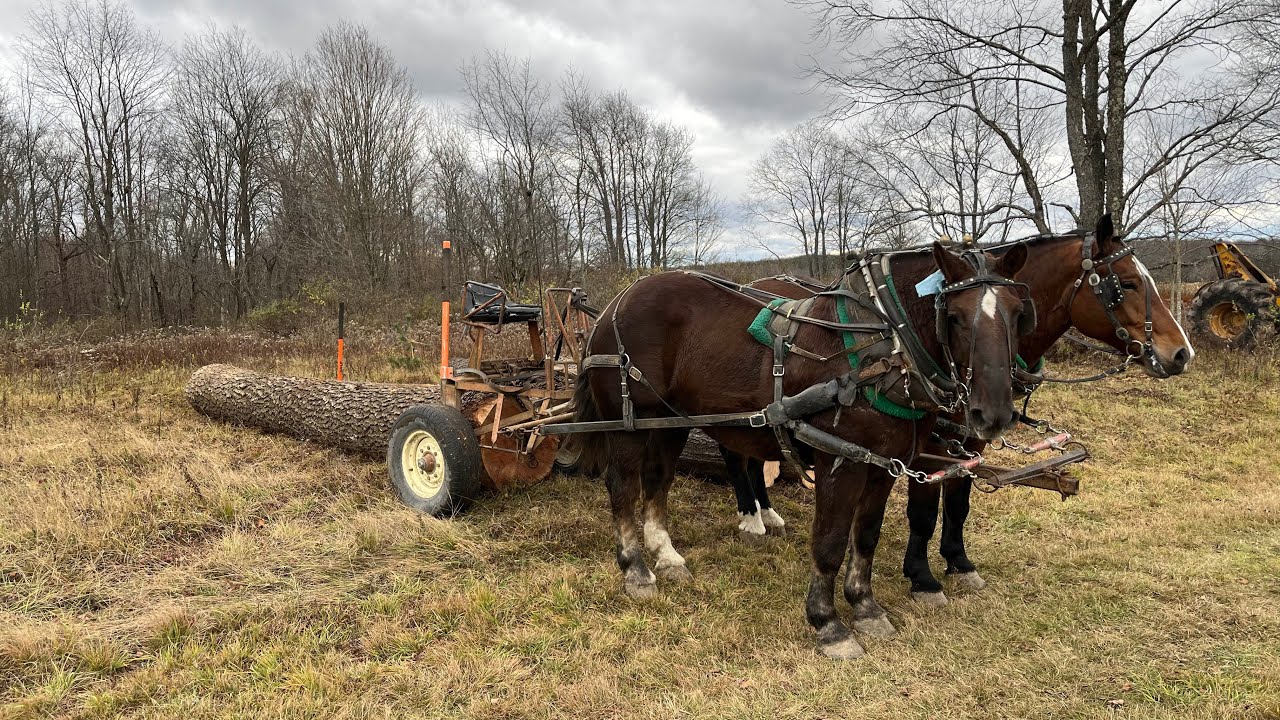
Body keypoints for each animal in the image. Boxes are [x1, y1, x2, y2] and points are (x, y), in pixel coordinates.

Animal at [573, 242, 1032, 659]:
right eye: (953, 316)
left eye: (1017, 312)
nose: (994, 412)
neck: (881, 346)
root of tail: (616, 302)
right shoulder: (840, 461)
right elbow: (829, 542)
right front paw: (828, 624)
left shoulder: (885, 464)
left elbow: (866, 536)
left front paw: (865, 606)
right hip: (628, 422)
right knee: (622, 486)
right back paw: (635, 569)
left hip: (670, 421)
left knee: (657, 480)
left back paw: (666, 557)